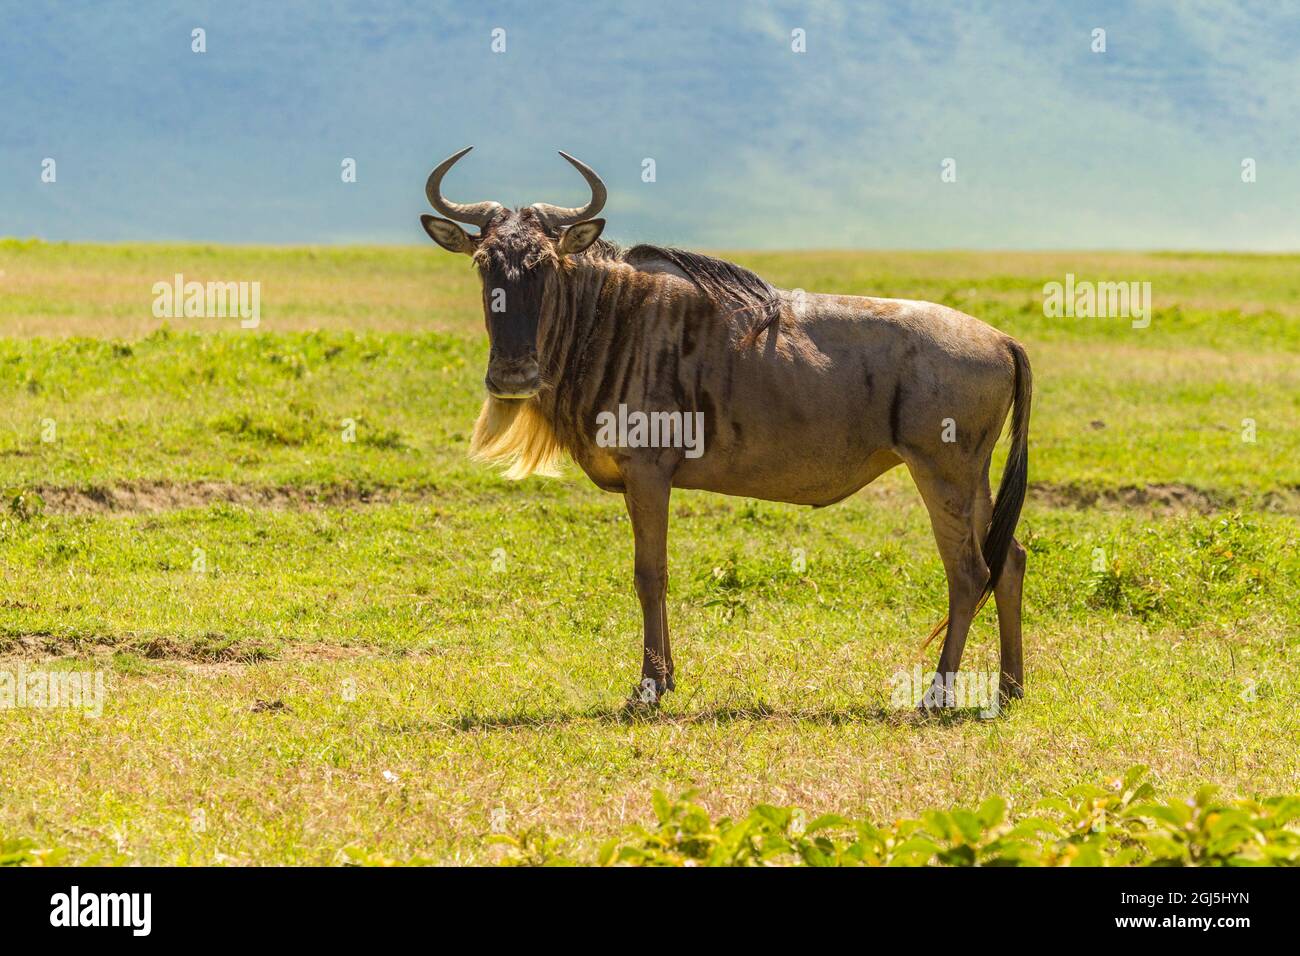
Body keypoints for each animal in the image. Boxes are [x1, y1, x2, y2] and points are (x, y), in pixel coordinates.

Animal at [420, 147, 1032, 711]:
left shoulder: (648, 473)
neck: (609, 317)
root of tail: (1003, 340)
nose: (513, 376)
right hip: (973, 479)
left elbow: (649, 574)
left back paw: (938, 695)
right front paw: (667, 679)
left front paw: (648, 689)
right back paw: (1010, 689)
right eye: (483, 263)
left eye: (546, 265)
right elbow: (659, 575)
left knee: (968, 571)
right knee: (1009, 561)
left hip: (942, 475)